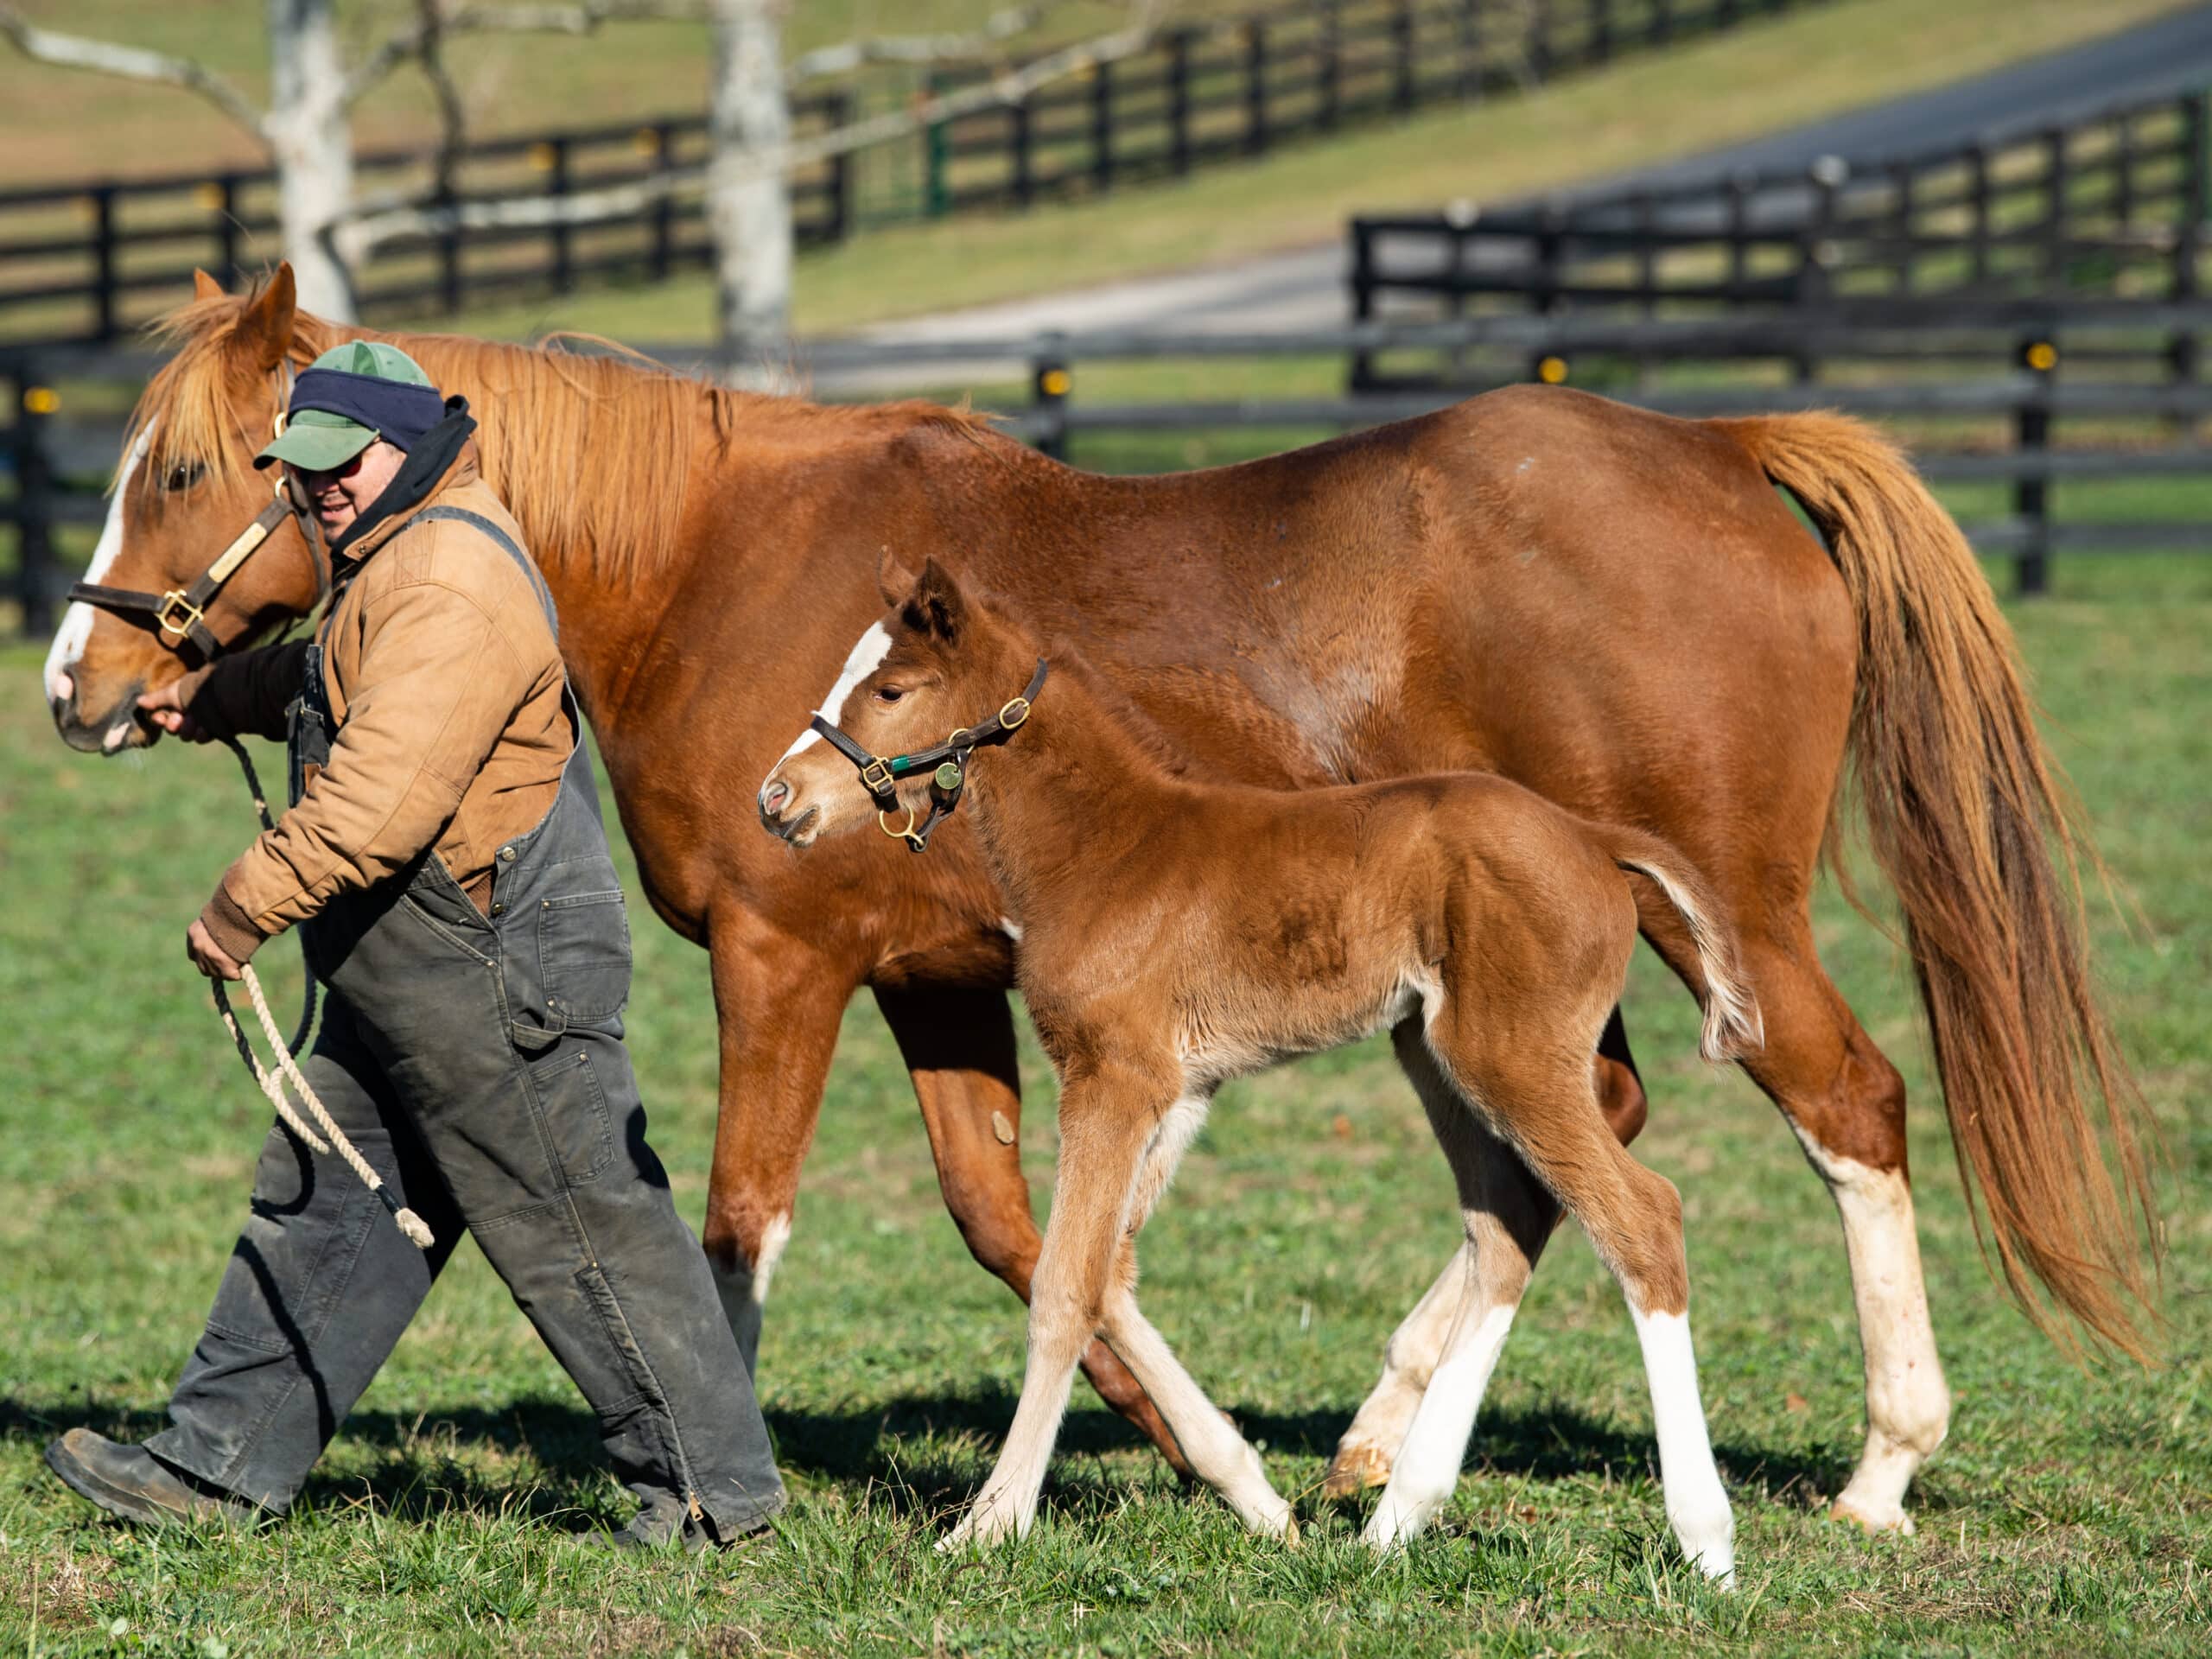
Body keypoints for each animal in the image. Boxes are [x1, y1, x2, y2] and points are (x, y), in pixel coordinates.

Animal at [759, 555, 1765, 1577]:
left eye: (891, 688)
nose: (778, 799)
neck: (1106, 847)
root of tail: (1597, 841)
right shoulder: (1178, 1089)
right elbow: (1110, 1271)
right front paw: (1257, 1500)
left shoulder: (1111, 1078)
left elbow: (1064, 1287)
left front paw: (990, 1523)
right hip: (1436, 1054)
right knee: (1507, 1224)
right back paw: (1394, 1521)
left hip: (1510, 1055)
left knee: (1641, 1217)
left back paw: (1706, 1542)